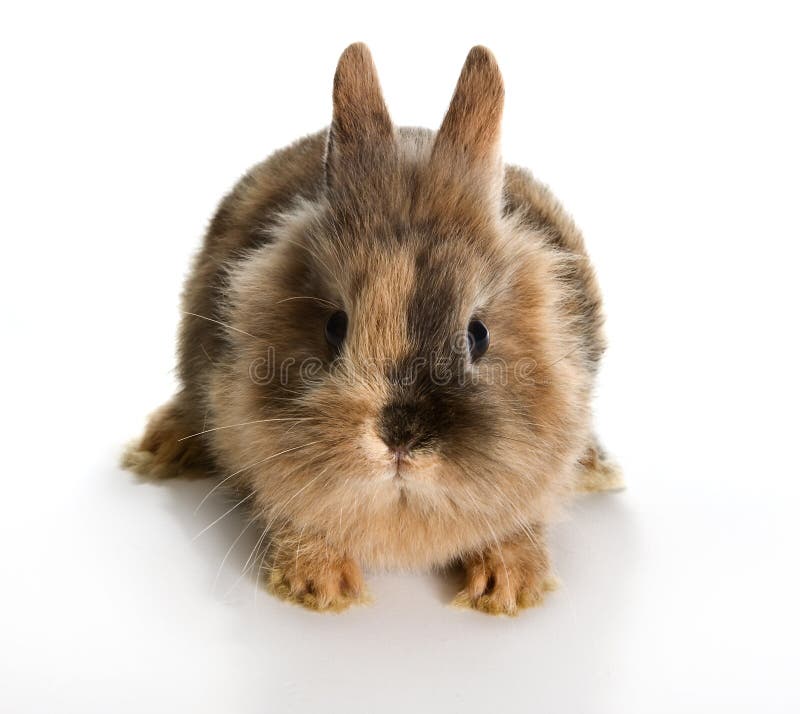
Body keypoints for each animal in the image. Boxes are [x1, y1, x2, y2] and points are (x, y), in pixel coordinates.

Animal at [123, 43, 622, 615]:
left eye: (478, 335)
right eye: (335, 325)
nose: (401, 438)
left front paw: (509, 586)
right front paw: (320, 586)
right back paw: (162, 447)